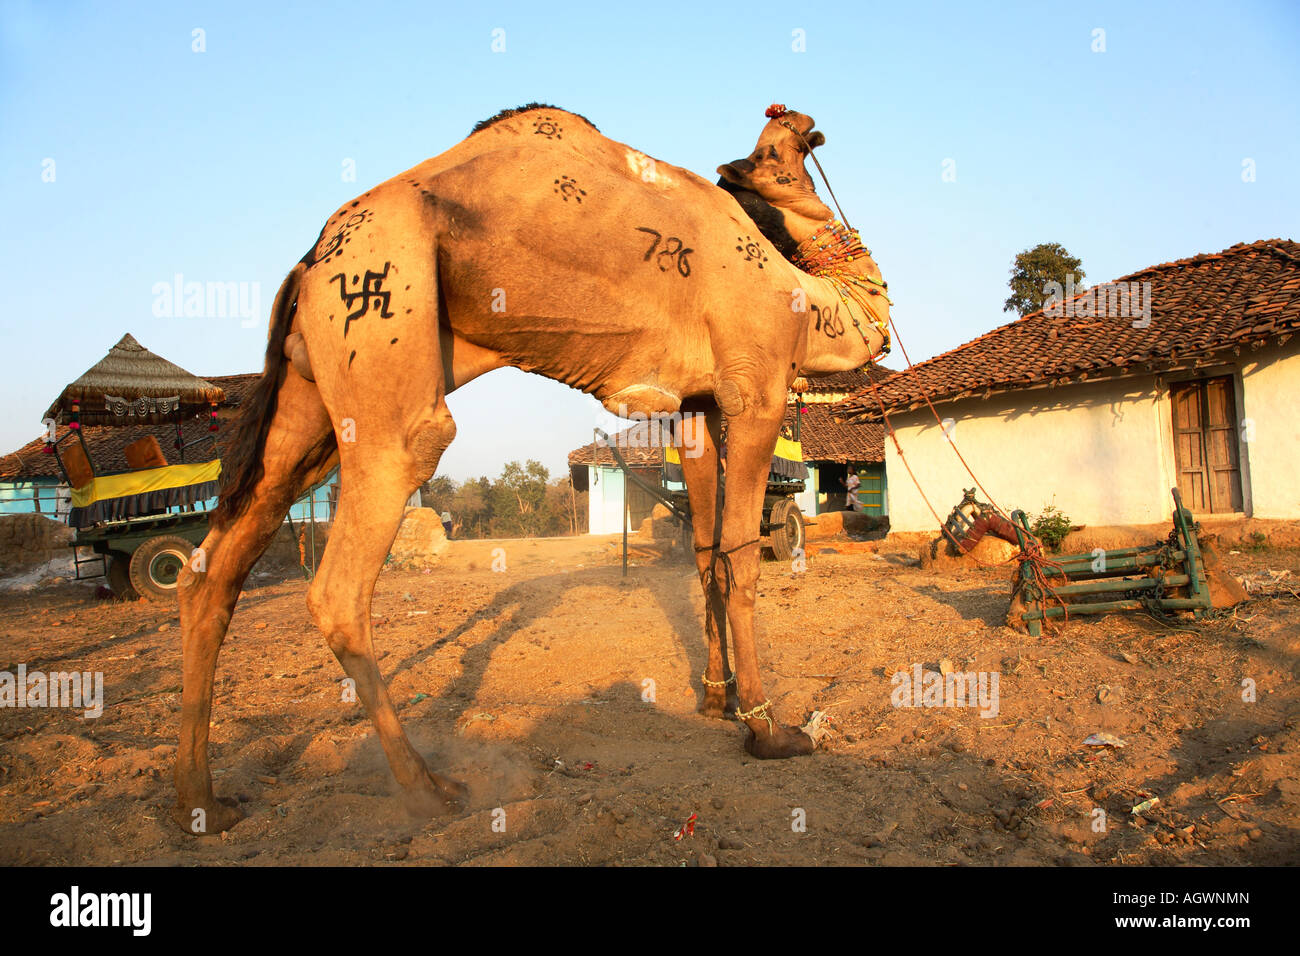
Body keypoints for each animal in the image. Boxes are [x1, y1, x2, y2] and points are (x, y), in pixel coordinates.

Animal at [173, 103, 890, 833]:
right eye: (784, 151)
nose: (804, 119)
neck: (806, 294)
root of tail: (309, 262)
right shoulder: (757, 389)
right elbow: (743, 560)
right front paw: (769, 729)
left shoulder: (697, 403)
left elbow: (706, 552)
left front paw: (715, 700)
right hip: (381, 313)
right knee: (347, 571)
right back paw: (431, 790)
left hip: (308, 399)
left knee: (217, 564)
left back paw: (202, 802)